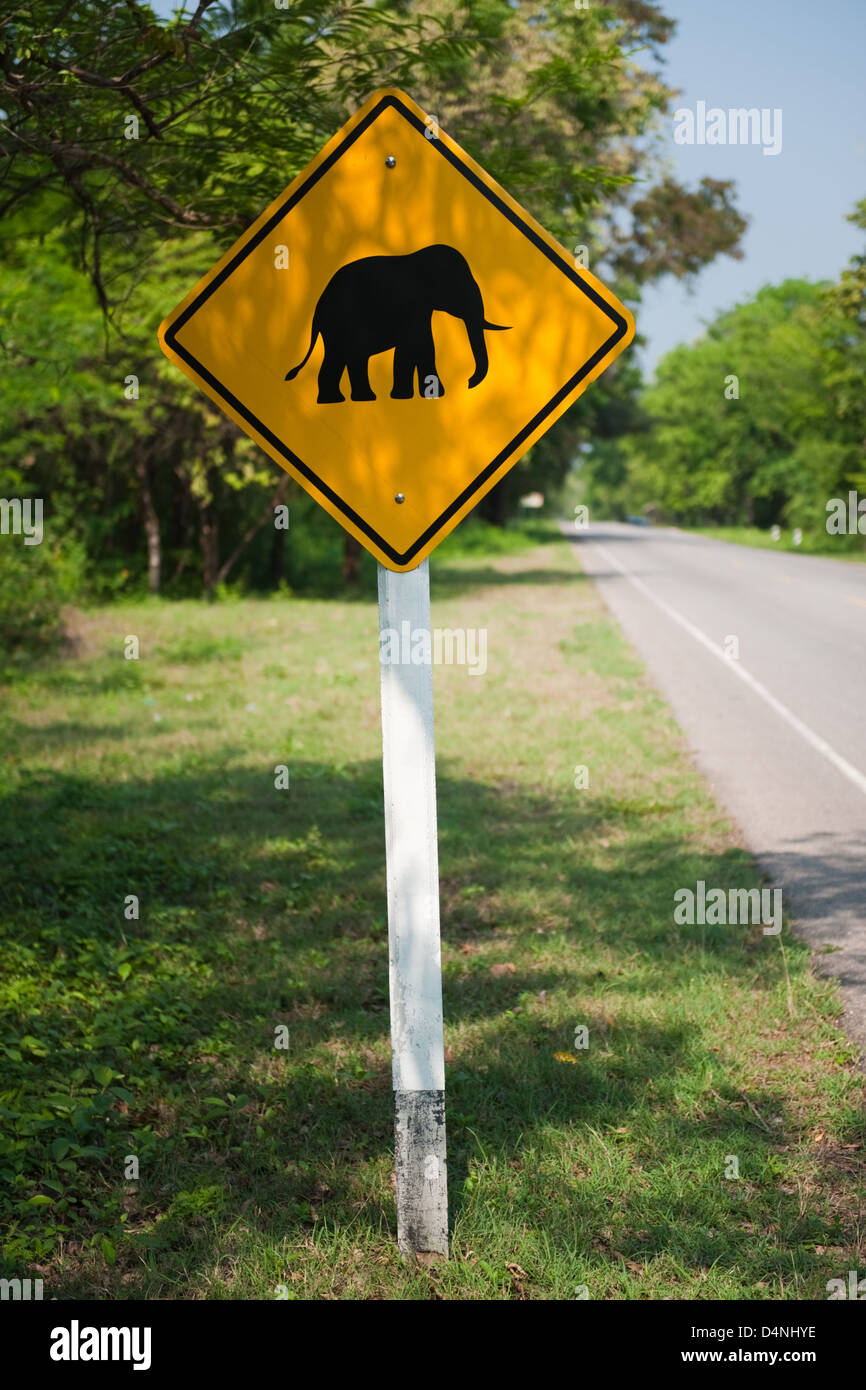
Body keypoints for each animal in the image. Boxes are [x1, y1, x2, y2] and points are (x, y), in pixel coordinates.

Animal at [284, 243, 509, 403]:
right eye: (459, 288)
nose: (468, 383)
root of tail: (318, 306)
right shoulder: (413, 305)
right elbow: (418, 345)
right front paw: (422, 395)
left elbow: (418, 346)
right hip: (340, 322)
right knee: (346, 356)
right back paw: (352, 399)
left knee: (343, 357)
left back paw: (342, 400)